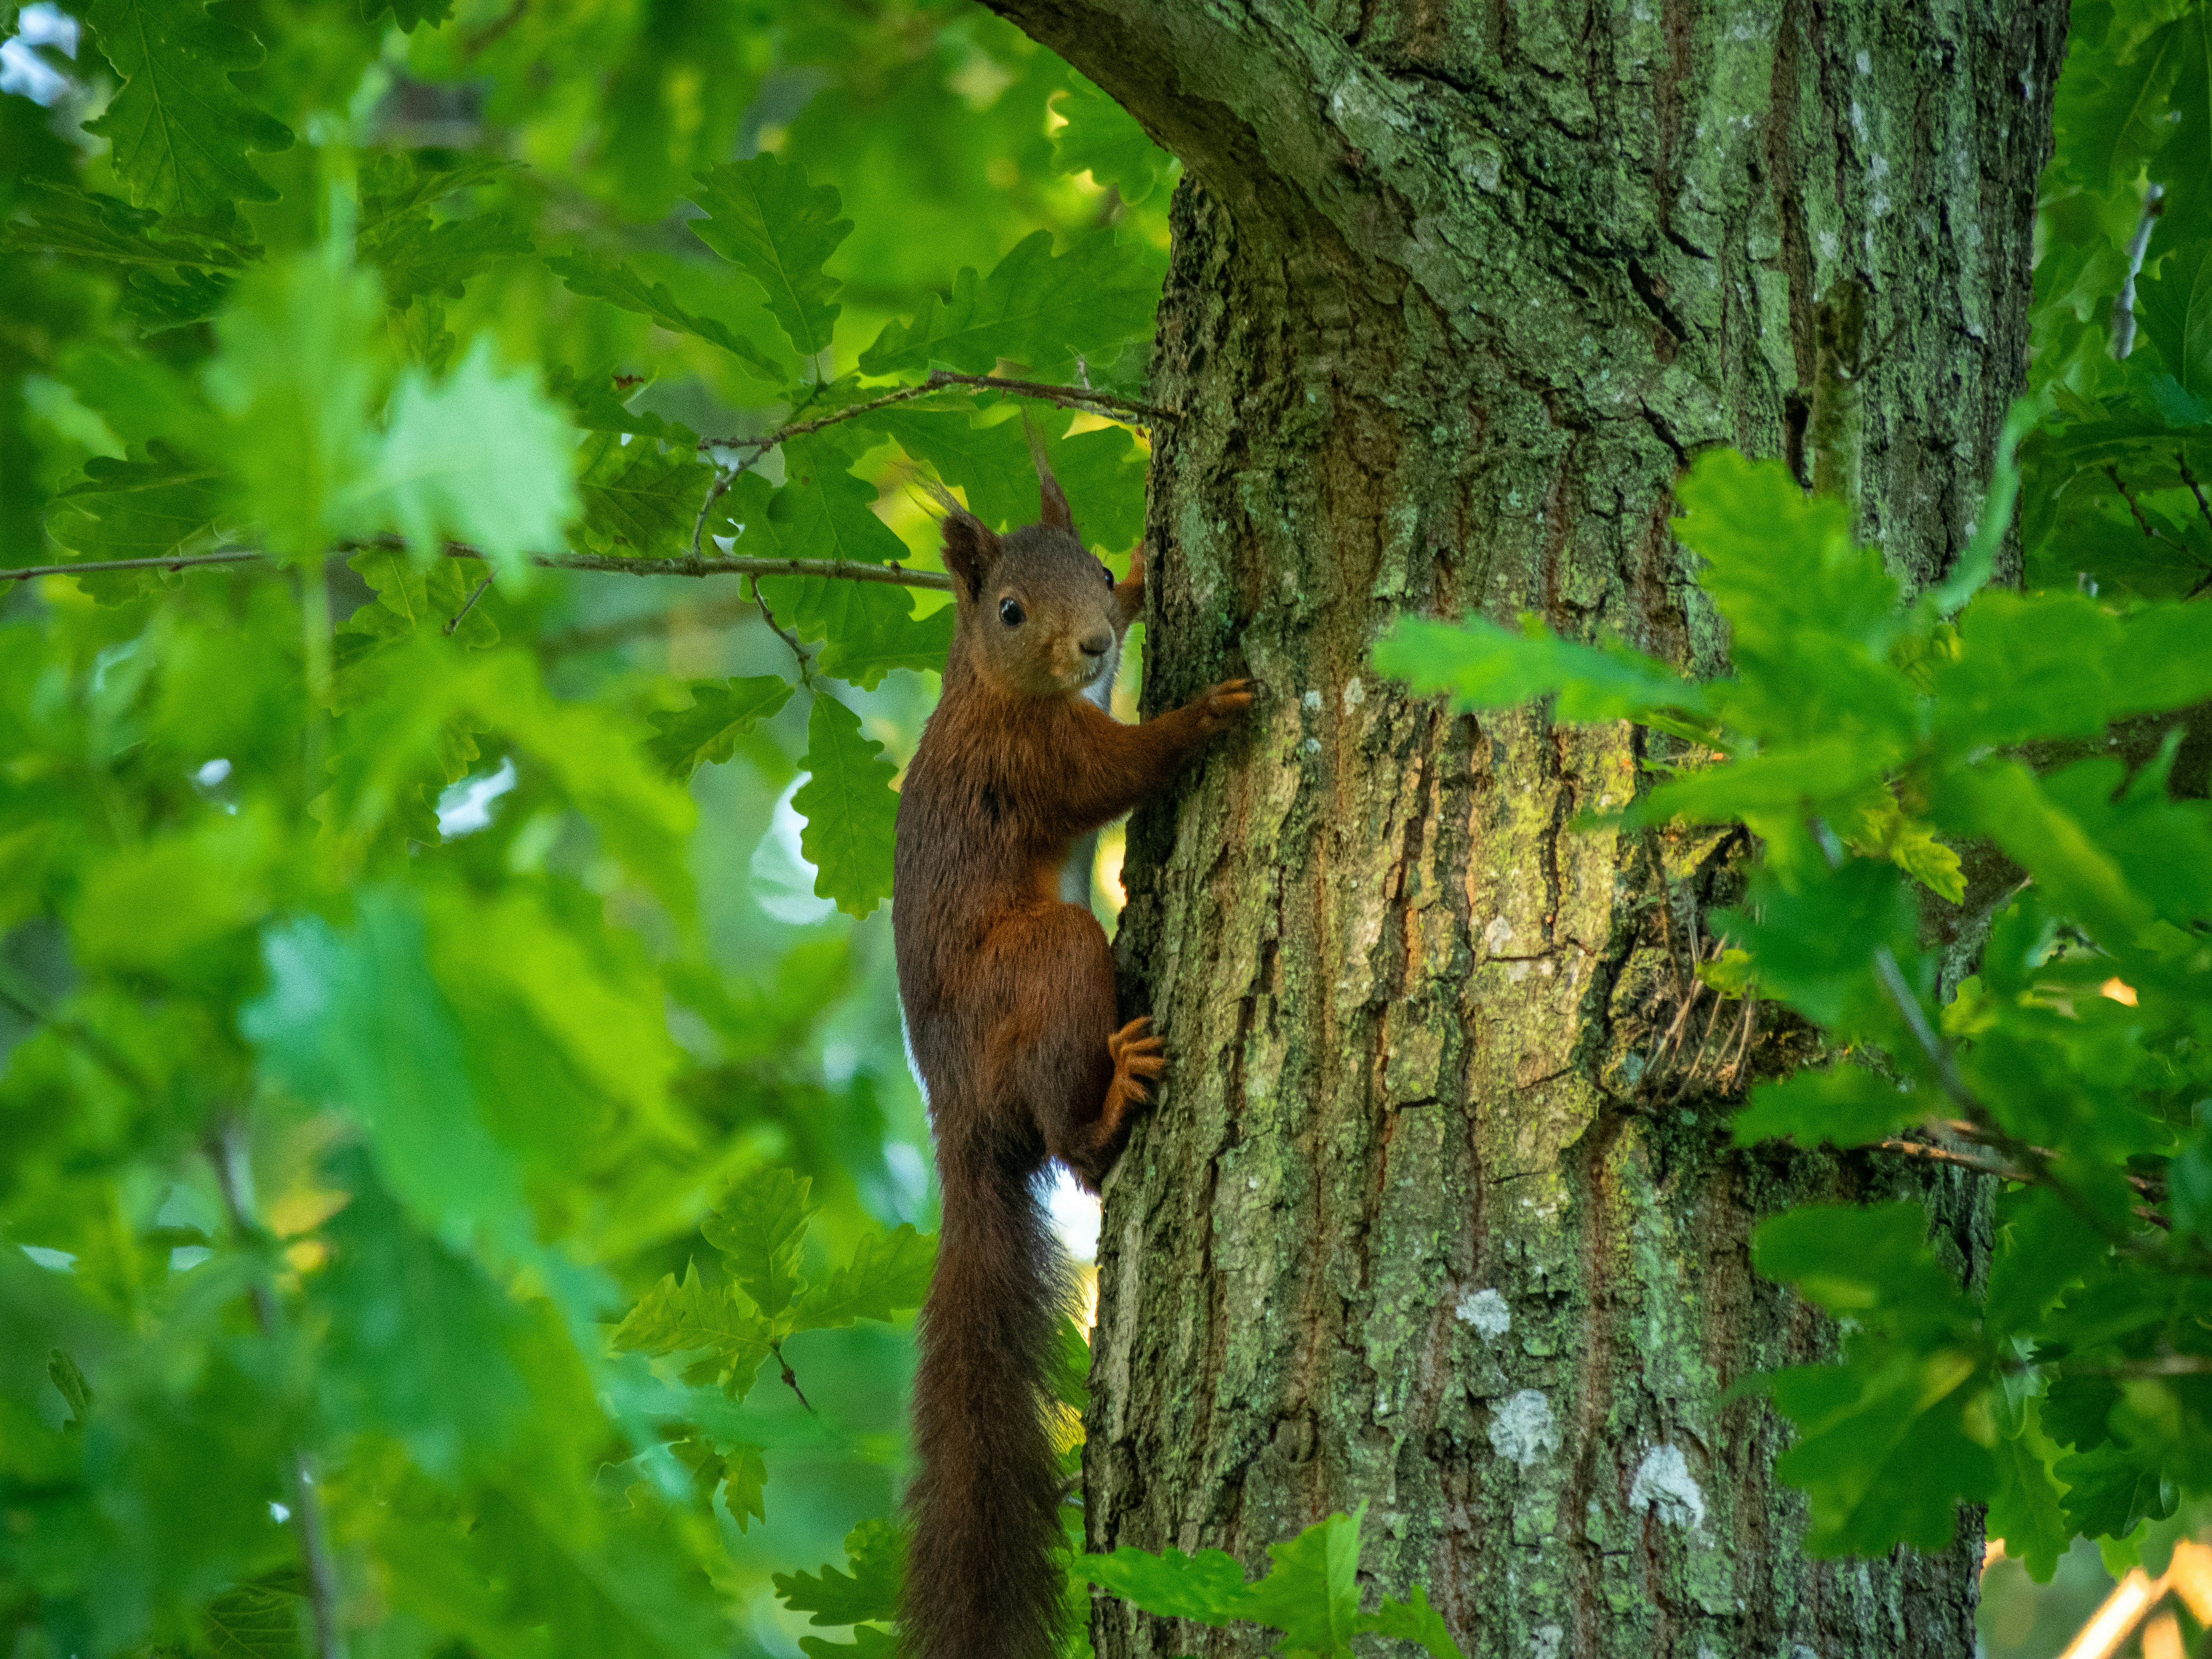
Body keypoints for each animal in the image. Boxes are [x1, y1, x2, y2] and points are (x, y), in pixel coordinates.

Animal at [892, 436, 1252, 1659]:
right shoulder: (1035, 757)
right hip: (1046, 959)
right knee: (1070, 1138)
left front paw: (1147, 570)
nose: (1095, 645)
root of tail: (957, 1113)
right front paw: (1201, 717)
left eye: (1090, 569)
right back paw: (1109, 1104)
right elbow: (1118, 773)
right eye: (1009, 609)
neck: (992, 683)